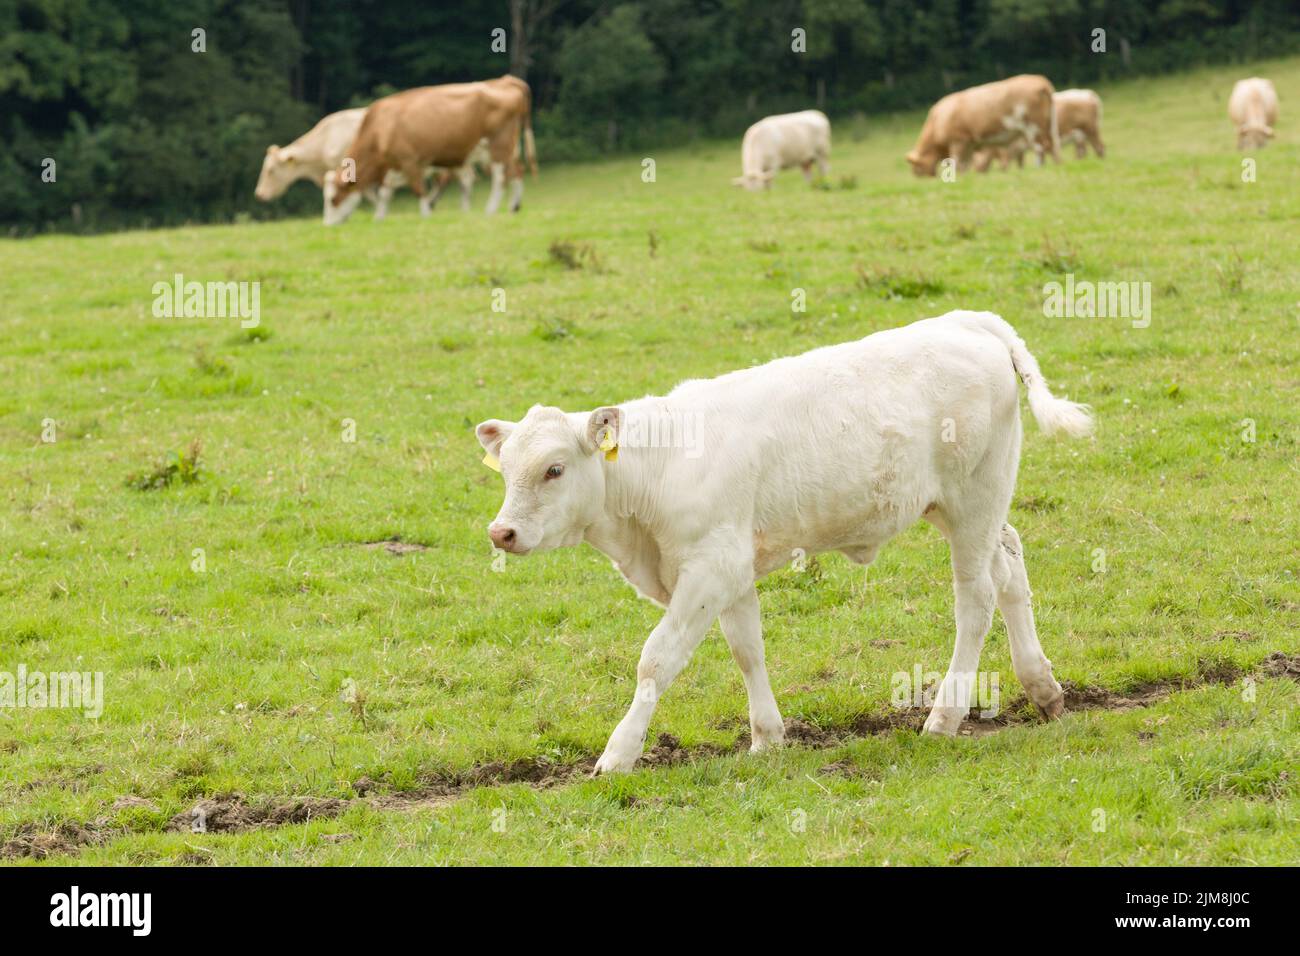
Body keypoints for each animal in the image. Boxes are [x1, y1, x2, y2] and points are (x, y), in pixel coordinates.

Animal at [325, 75, 537, 225]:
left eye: (333, 199)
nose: (327, 225)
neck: (380, 129)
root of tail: (505, 80)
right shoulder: (394, 166)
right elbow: (386, 192)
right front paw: (379, 217)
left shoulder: (410, 161)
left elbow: (419, 189)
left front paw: (425, 214)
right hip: (504, 149)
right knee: (516, 171)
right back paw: (514, 207)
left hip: (498, 145)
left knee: (500, 178)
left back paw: (491, 209)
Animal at [476, 310, 1093, 773]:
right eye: (506, 469)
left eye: (554, 469)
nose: (501, 532)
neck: (657, 468)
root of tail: (967, 321)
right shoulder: (731, 569)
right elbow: (747, 648)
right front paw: (767, 737)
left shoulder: (710, 568)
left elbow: (657, 659)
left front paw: (617, 755)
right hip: (966, 508)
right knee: (1010, 566)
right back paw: (1043, 688)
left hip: (974, 501)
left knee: (976, 600)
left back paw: (943, 717)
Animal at [907, 75, 1060, 177]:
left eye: (917, 169)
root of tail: (1039, 80)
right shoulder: (969, 145)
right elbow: (965, 165)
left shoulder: (958, 141)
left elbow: (957, 162)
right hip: (1049, 125)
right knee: (1053, 145)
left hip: (1033, 126)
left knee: (1040, 147)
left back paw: (1039, 168)